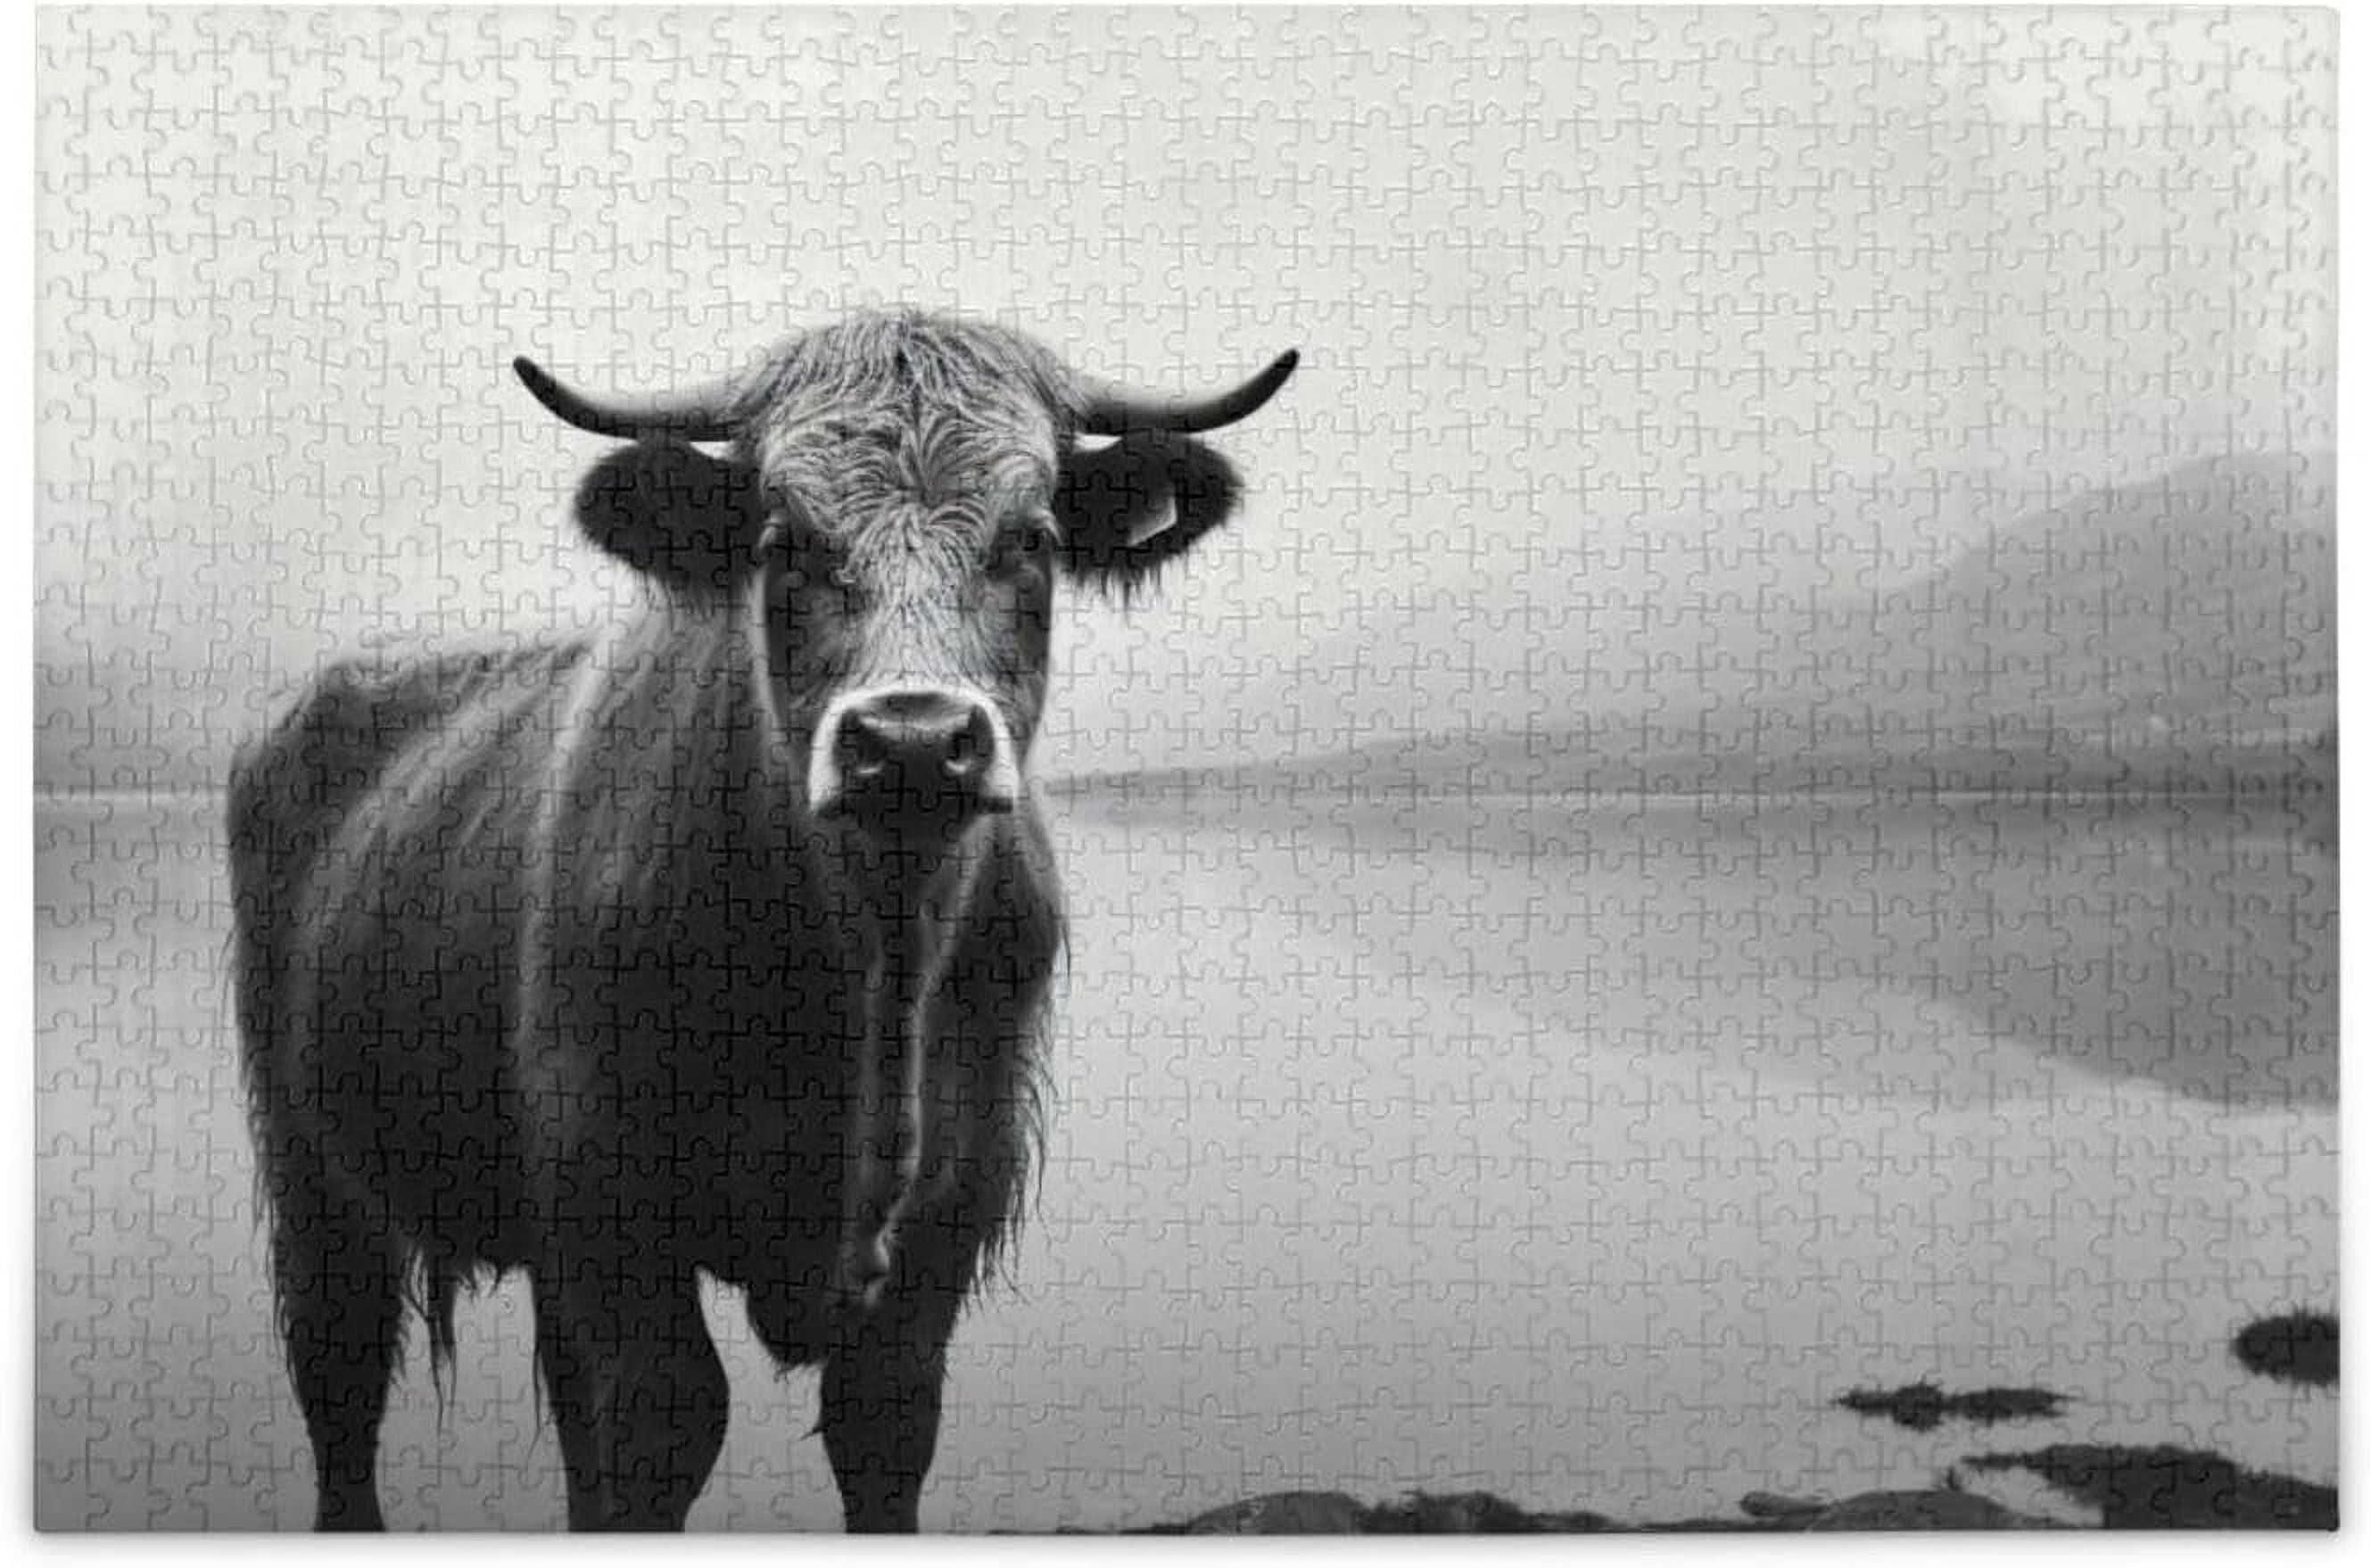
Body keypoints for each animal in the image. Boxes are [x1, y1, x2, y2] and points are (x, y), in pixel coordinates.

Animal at [226, 310, 1297, 1532]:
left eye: (1030, 538)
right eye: (785, 541)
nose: (914, 742)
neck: (866, 967)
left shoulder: (953, 1208)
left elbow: (883, 1428)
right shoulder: (611, 1191)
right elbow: (663, 1423)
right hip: (309, 1168)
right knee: (340, 1367)